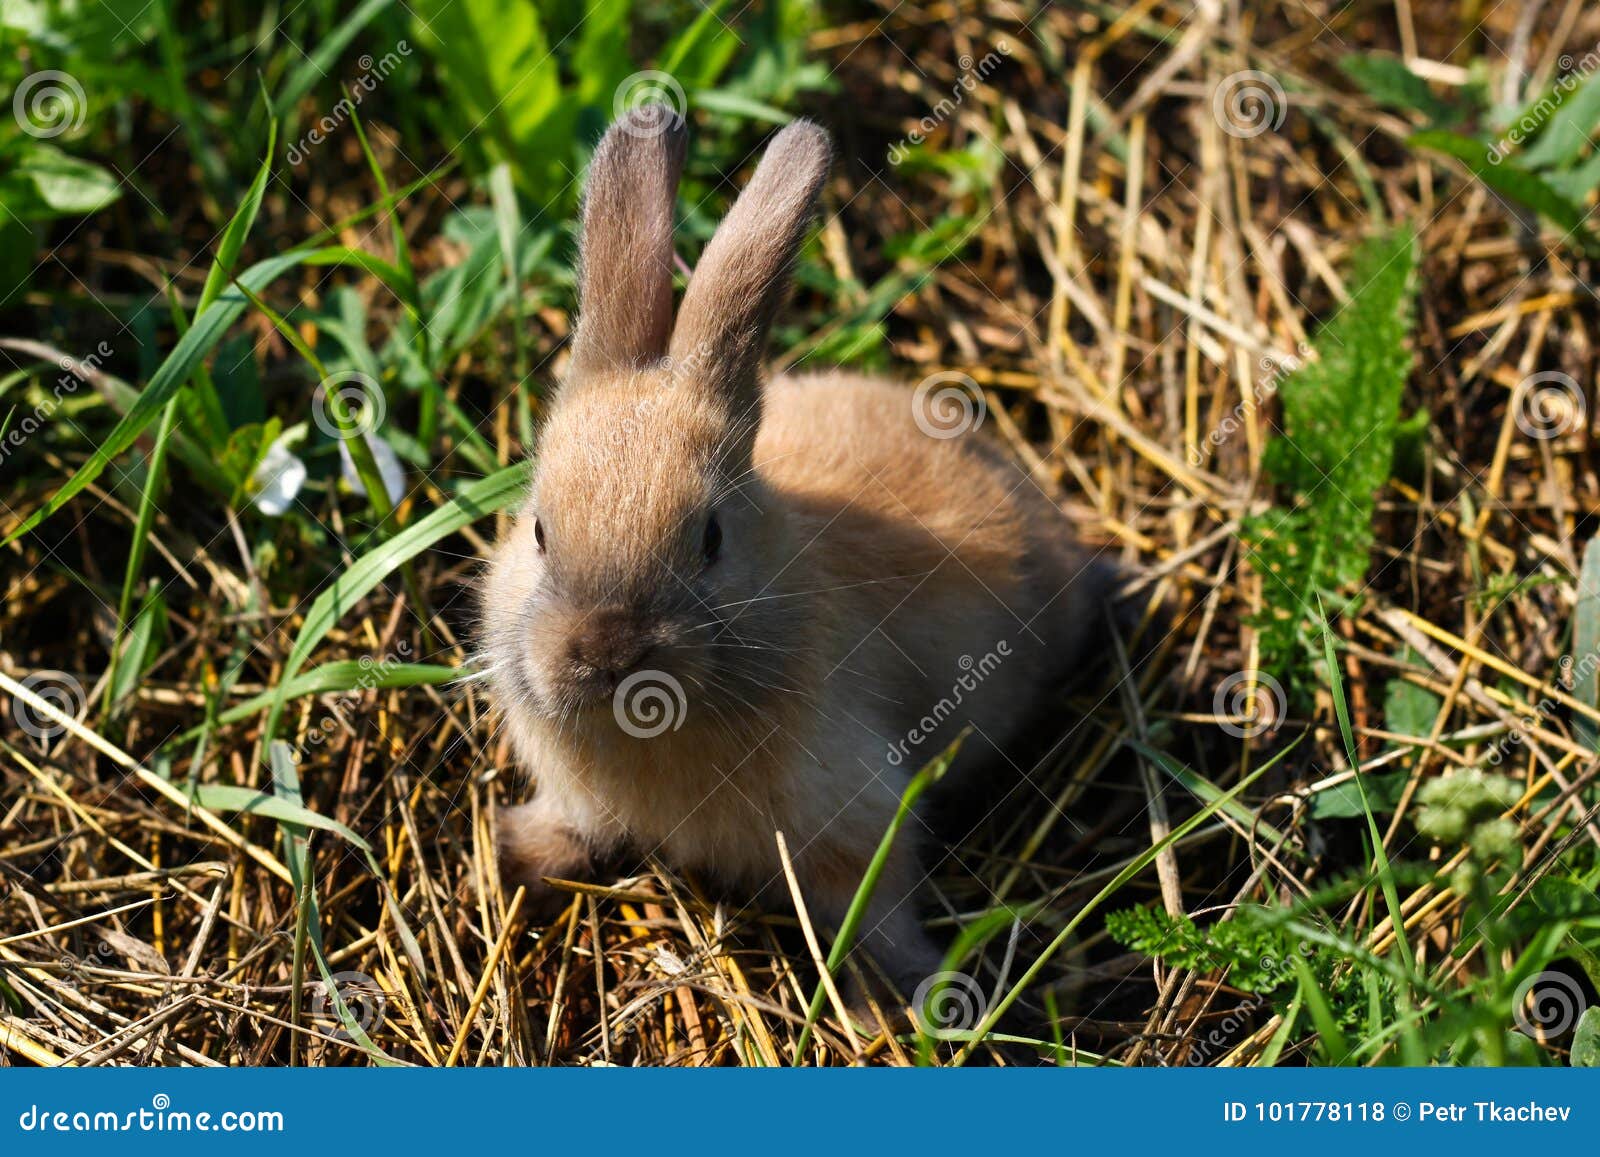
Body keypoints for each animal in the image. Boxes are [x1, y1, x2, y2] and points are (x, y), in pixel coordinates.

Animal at [481, 104, 1119, 1010]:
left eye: (710, 538)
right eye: (538, 530)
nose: (607, 654)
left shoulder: (858, 822)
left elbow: (877, 909)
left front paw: (908, 988)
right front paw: (515, 853)